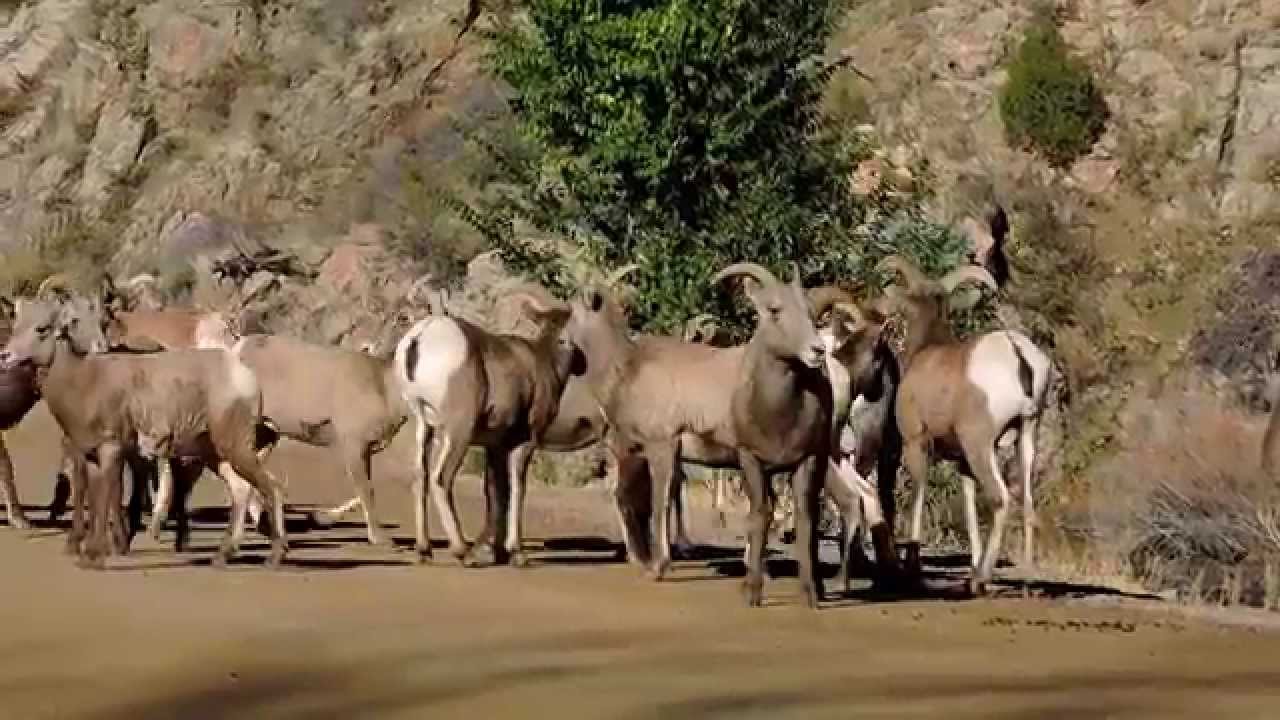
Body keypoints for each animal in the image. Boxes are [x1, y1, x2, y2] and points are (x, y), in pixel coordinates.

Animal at [0, 293, 288, 568]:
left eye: (42, 328)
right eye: (17, 325)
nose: (6, 356)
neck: (85, 382)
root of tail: (244, 378)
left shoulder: (111, 451)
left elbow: (106, 498)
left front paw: (96, 557)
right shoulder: (91, 457)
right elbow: (94, 500)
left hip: (236, 450)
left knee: (271, 487)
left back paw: (274, 557)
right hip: (216, 456)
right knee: (240, 489)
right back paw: (221, 557)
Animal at [395, 291, 584, 566]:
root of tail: (420, 338)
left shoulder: (495, 446)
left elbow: (496, 492)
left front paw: (497, 552)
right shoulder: (524, 443)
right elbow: (517, 489)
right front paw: (516, 553)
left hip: (423, 427)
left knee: (420, 477)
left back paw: (424, 551)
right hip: (458, 433)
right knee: (441, 478)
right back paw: (463, 552)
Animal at [567, 262, 833, 608]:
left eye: (810, 313)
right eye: (775, 309)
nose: (817, 350)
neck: (626, 367)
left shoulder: (659, 448)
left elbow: (658, 504)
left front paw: (657, 568)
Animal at [876, 254, 1051, 594]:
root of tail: (1017, 353)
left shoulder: (917, 444)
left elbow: (918, 494)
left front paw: (913, 569)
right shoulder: (963, 463)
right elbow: (970, 509)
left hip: (980, 445)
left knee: (1000, 499)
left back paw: (982, 580)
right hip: (1026, 435)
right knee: (1026, 503)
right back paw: (1024, 581)